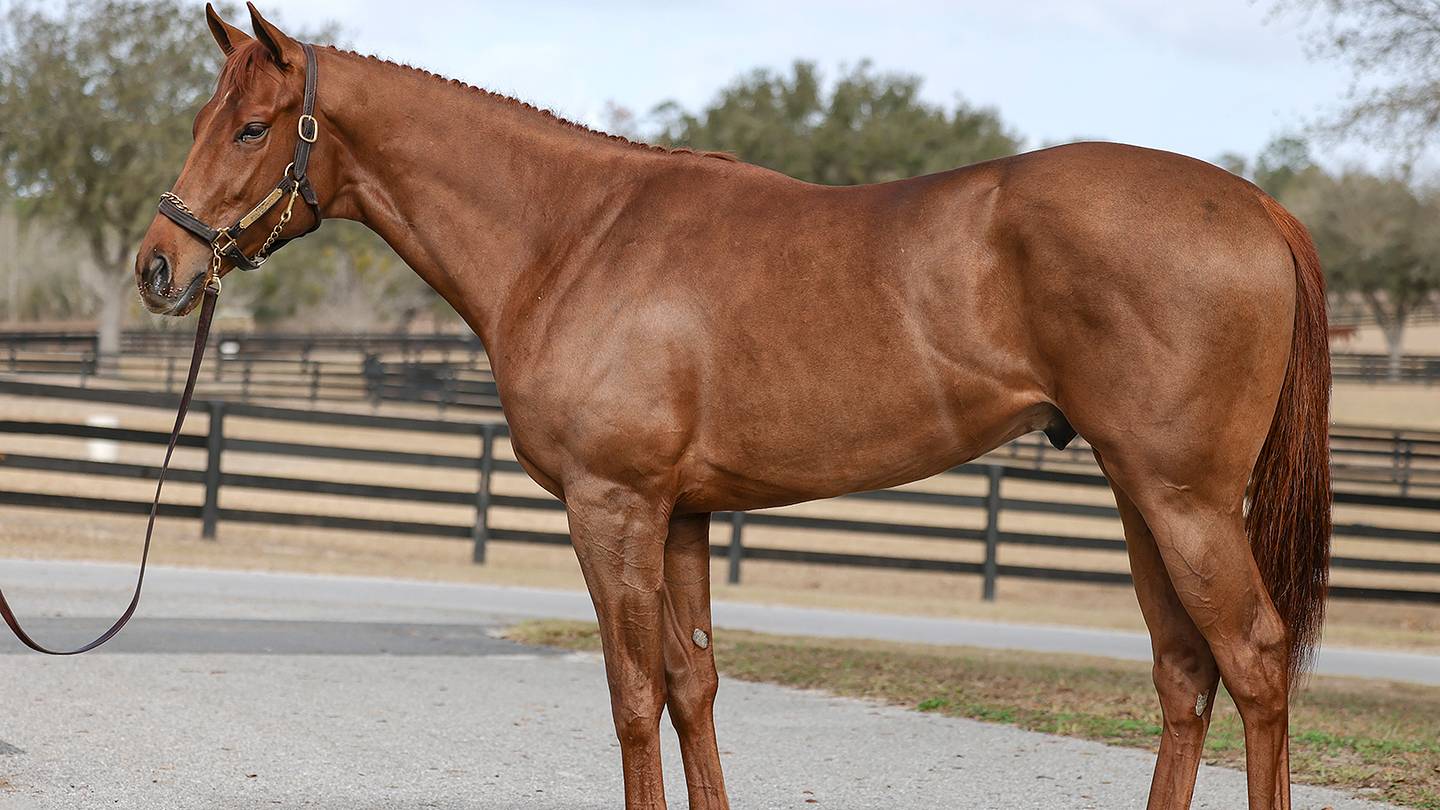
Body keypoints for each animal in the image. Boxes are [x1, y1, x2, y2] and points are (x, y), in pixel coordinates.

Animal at [133, 6, 1331, 809]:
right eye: (203, 115)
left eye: (252, 128)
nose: (157, 268)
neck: (574, 233)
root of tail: (1258, 206)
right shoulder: (683, 516)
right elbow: (692, 684)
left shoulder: (611, 505)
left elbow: (630, 691)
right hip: (1140, 497)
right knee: (1186, 675)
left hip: (1183, 501)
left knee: (1256, 660)